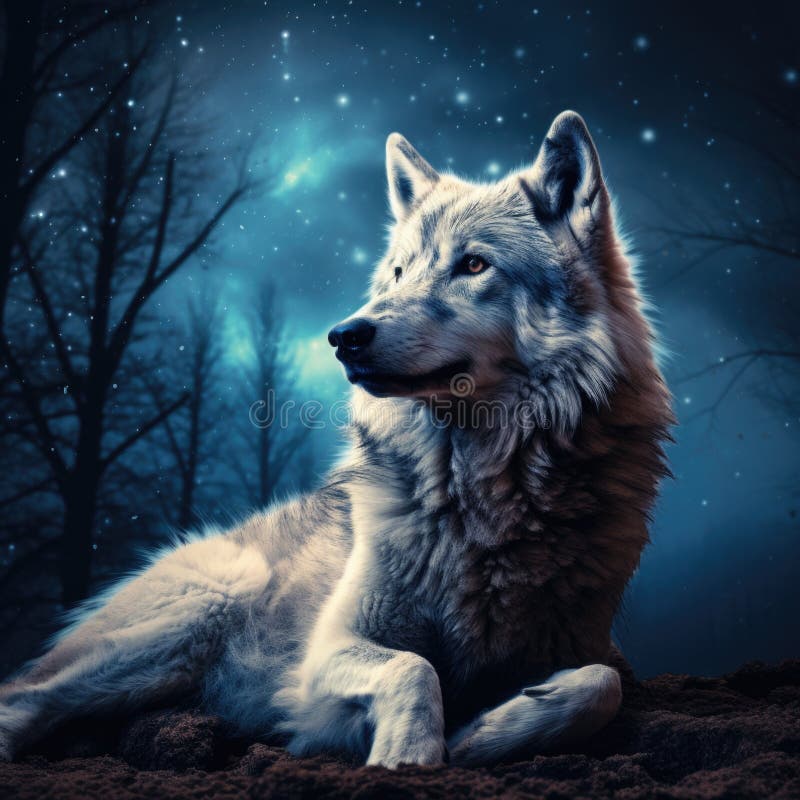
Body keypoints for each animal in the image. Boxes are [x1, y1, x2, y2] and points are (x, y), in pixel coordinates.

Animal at [0, 111, 672, 767]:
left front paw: (484, 732)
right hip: (200, 613)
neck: (480, 497)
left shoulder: (587, 646)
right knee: (22, 700)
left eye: (474, 265)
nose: (345, 335)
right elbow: (415, 669)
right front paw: (406, 757)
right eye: (398, 273)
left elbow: (601, 685)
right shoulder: (326, 655)